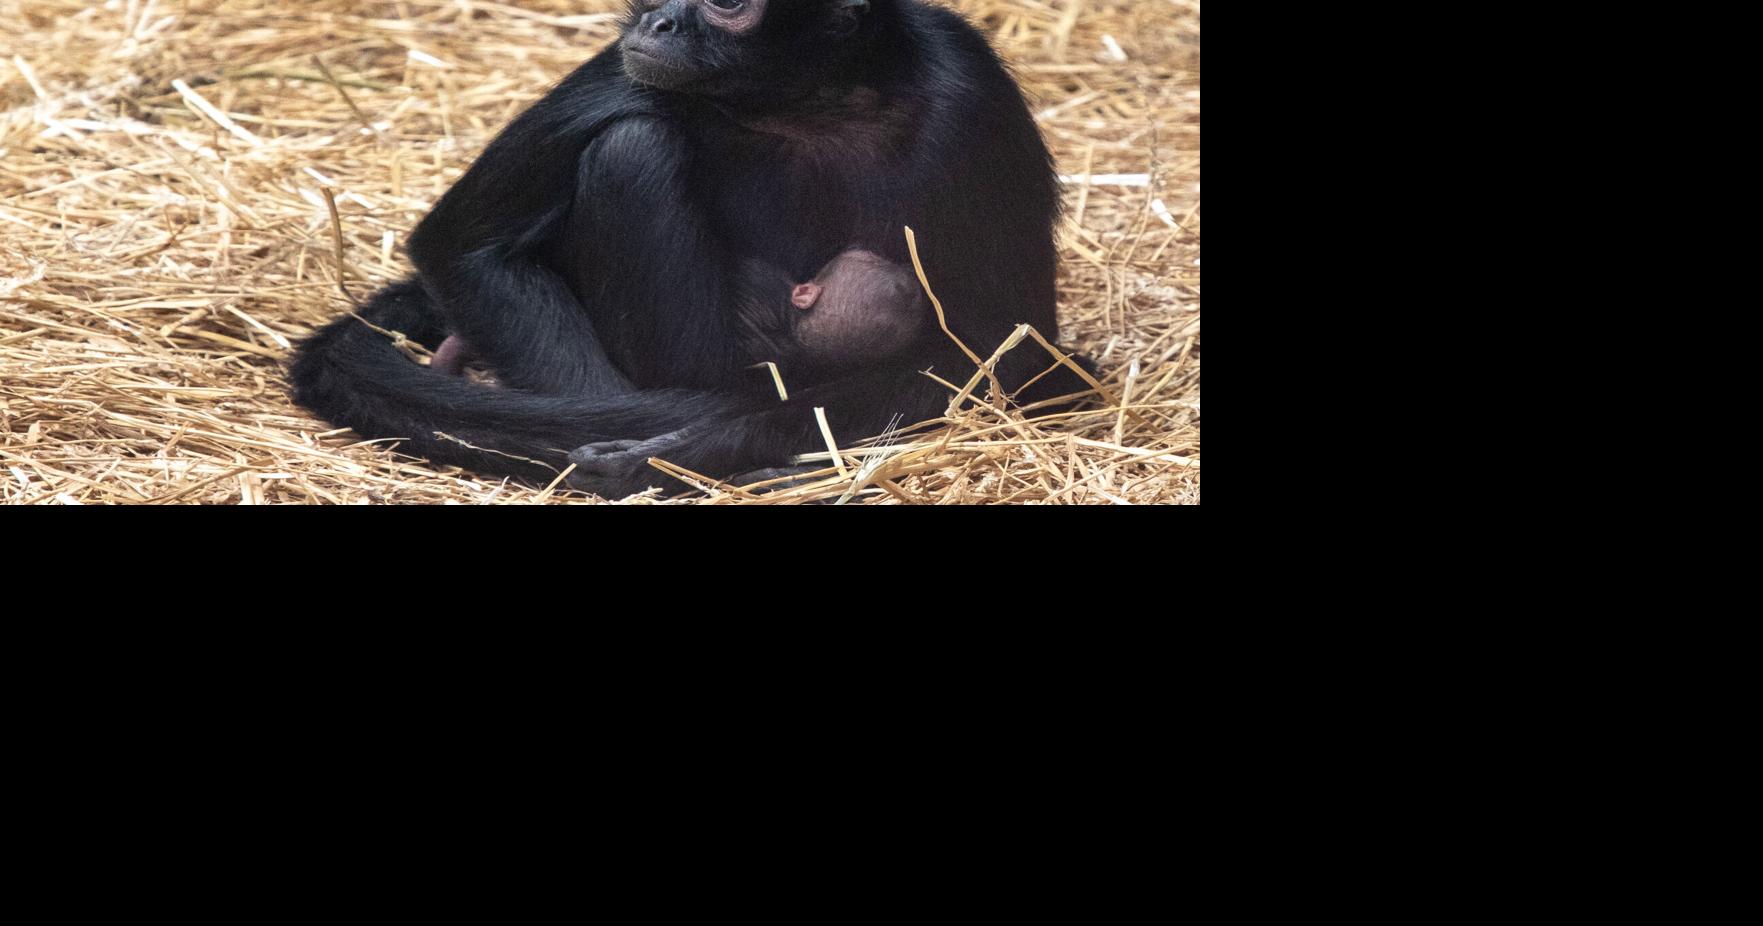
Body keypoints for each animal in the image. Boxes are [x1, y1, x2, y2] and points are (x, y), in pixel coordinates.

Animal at [290, 0, 1092, 497]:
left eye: (728, 3)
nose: (661, 17)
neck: (812, 101)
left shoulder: (971, 90)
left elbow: (1012, 357)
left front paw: (683, 454)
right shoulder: (630, 67)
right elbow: (464, 246)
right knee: (634, 144)